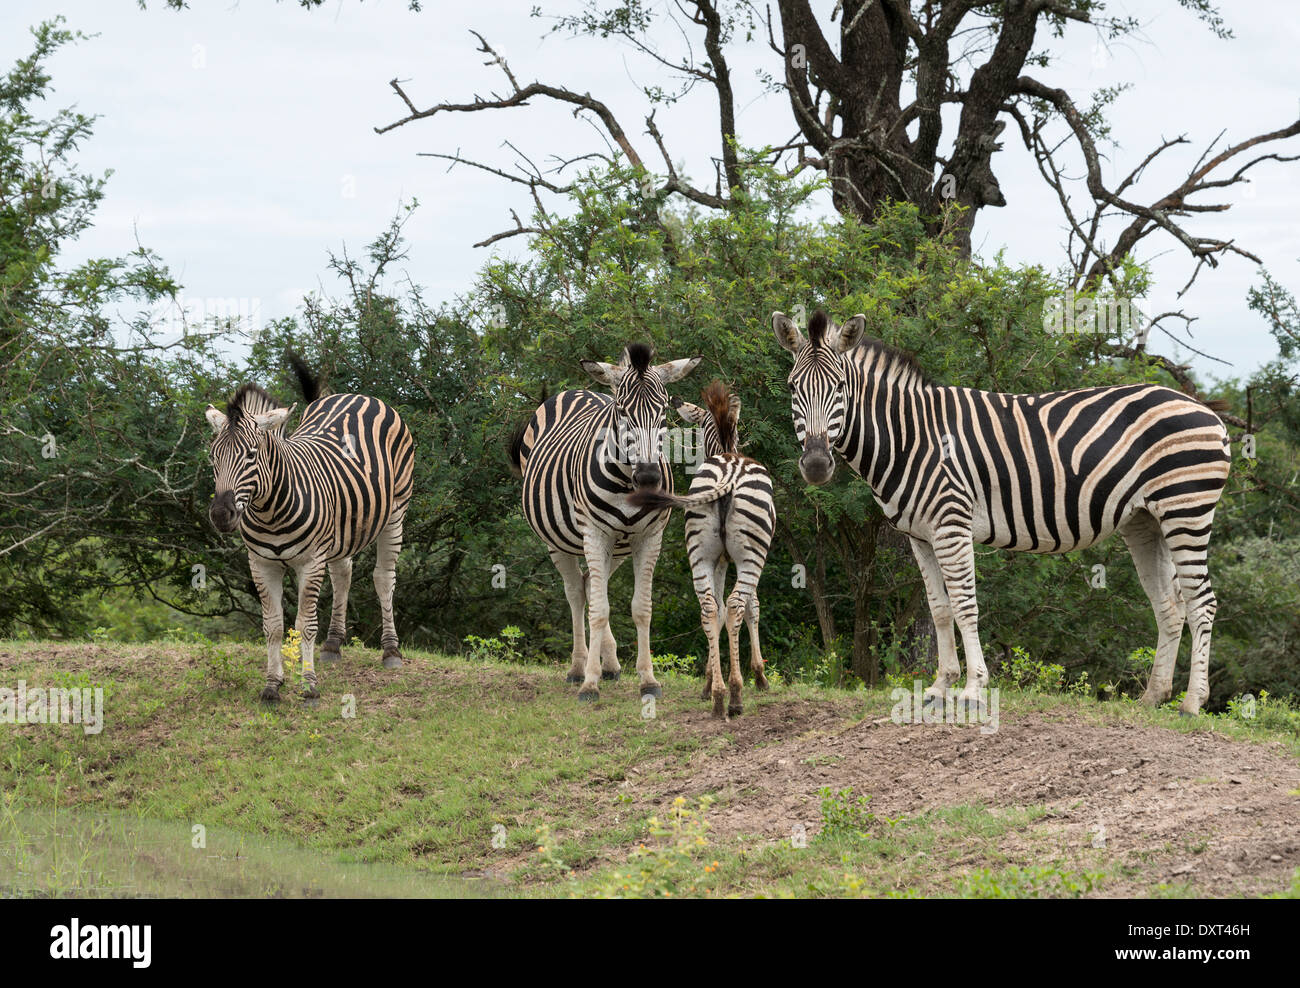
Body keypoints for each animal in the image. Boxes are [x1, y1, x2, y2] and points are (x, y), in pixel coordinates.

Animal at [205, 357, 416, 702]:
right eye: (213, 457)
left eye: (251, 454)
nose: (221, 514)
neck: (270, 513)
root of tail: (353, 395)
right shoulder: (261, 564)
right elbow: (273, 626)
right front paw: (272, 685)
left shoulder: (311, 562)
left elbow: (305, 624)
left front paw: (309, 686)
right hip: (343, 529)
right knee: (343, 574)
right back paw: (332, 644)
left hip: (396, 510)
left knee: (383, 577)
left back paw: (391, 651)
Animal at [509, 343, 701, 703]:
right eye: (622, 412)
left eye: (663, 414)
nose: (649, 478)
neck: (627, 484)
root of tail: (578, 390)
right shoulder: (596, 534)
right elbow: (598, 609)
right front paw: (590, 683)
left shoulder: (649, 536)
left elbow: (641, 608)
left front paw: (647, 680)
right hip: (558, 540)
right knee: (576, 592)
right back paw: (578, 668)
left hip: (619, 546)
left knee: (590, 586)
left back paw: (609, 665)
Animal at [629, 381, 775, 719]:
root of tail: (729, 473)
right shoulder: (736, 560)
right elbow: (752, 607)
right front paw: (759, 675)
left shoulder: (719, 560)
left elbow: (717, 612)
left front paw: (708, 681)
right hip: (752, 555)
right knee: (735, 605)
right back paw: (734, 695)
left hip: (699, 552)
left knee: (709, 608)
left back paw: (718, 696)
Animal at [774, 309, 1231, 716]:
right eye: (794, 387)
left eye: (839, 386)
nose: (816, 465)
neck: (910, 436)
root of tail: (1207, 411)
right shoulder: (920, 535)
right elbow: (939, 610)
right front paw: (940, 687)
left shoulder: (951, 523)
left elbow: (965, 605)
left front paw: (973, 689)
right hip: (1145, 521)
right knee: (1170, 605)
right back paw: (1153, 697)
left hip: (1186, 510)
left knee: (1202, 602)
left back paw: (1191, 703)